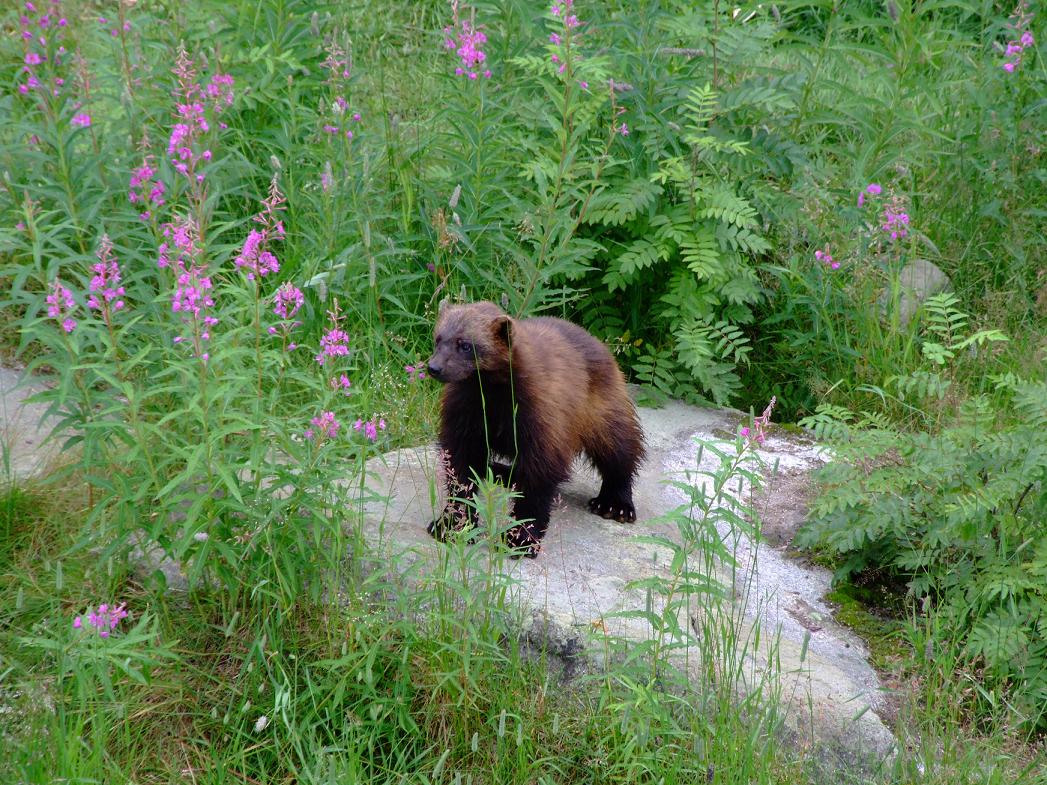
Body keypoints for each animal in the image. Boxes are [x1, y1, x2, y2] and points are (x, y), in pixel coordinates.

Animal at [425, 300, 645, 558]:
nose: (434, 367)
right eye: (438, 339)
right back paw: (498, 472)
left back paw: (614, 504)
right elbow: (460, 474)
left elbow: (537, 485)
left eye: (466, 345)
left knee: (620, 454)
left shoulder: (543, 425)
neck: (493, 397)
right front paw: (450, 524)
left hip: (605, 415)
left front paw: (520, 537)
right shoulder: (464, 420)